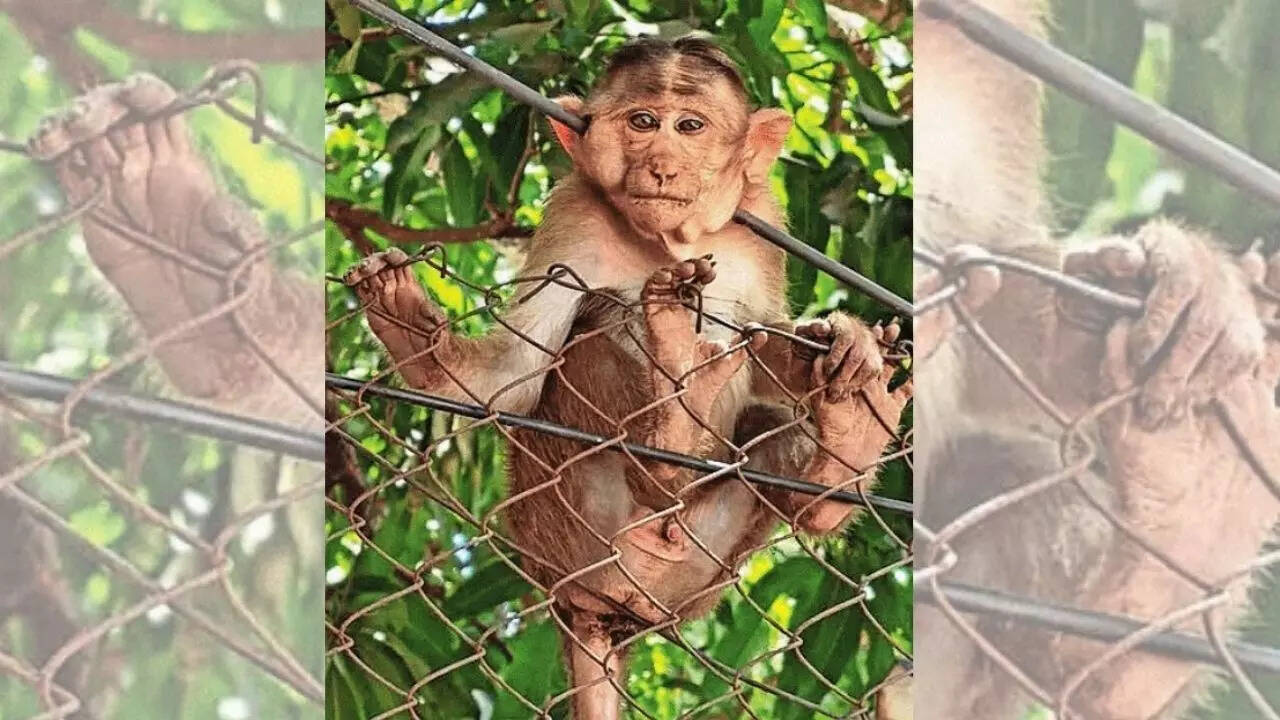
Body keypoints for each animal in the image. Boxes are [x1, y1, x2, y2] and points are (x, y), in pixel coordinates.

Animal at [342, 36, 913, 719]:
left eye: (689, 126)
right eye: (642, 122)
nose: (662, 165)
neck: (669, 244)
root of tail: (599, 613)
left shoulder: (759, 225)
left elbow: (767, 350)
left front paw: (846, 342)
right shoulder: (575, 212)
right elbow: (515, 375)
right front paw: (412, 332)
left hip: (700, 567)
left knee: (760, 437)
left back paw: (836, 465)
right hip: (575, 531)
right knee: (597, 321)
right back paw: (666, 439)